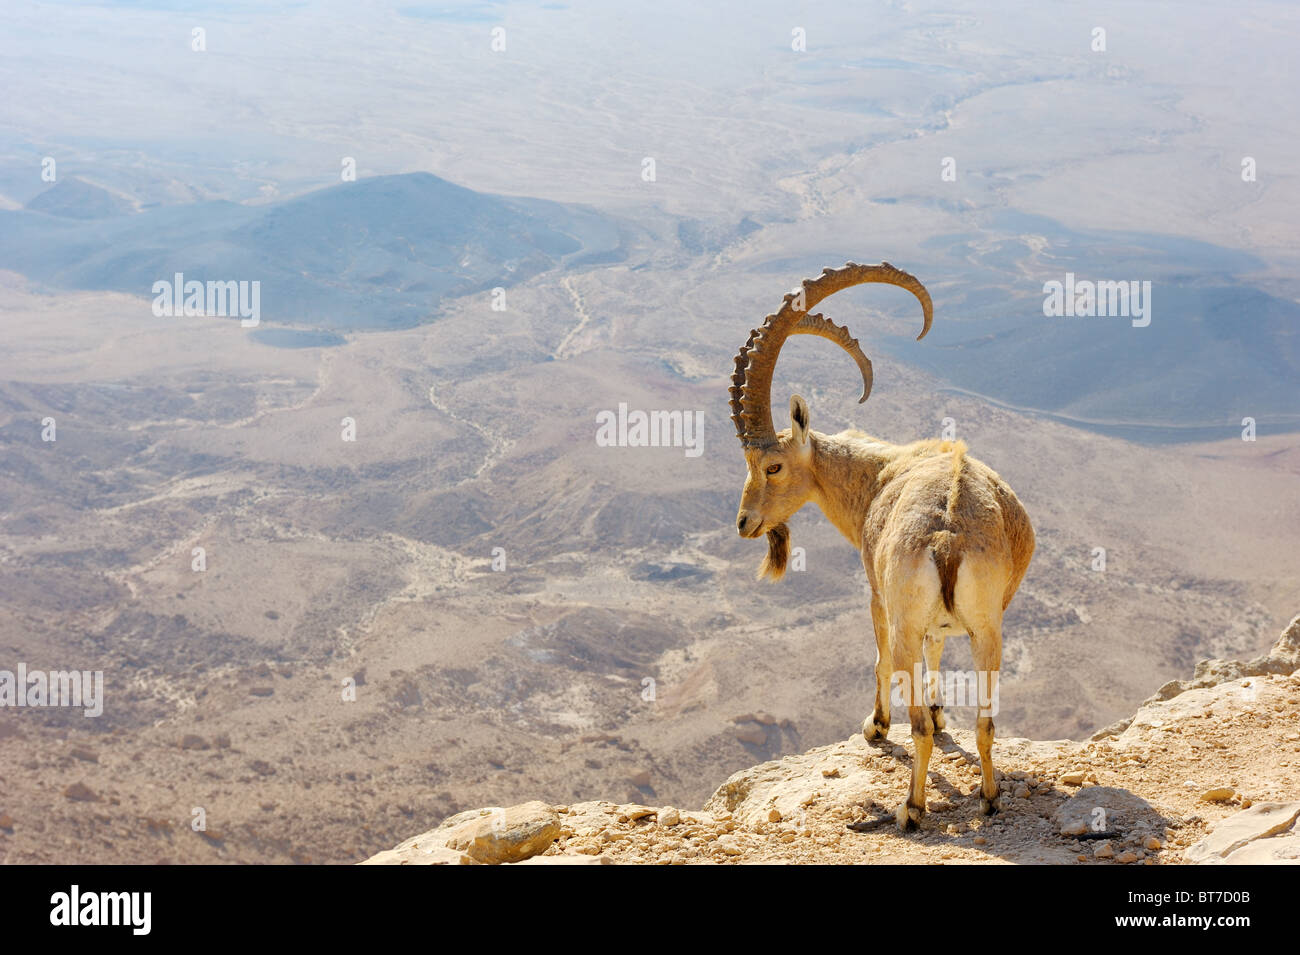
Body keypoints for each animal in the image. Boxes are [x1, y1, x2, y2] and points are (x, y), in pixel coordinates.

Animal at [729, 262, 1035, 830]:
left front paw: (875, 726)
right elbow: (938, 652)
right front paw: (940, 710)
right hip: (989, 630)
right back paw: (989, 796)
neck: (877, 474)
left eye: (773, 466)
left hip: (905, 619)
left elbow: (877, 660)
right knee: (986, 723)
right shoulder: (938, 624)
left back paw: (911, 807)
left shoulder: (879, 598)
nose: (744, 523)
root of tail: (948, 532)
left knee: (912, 713)